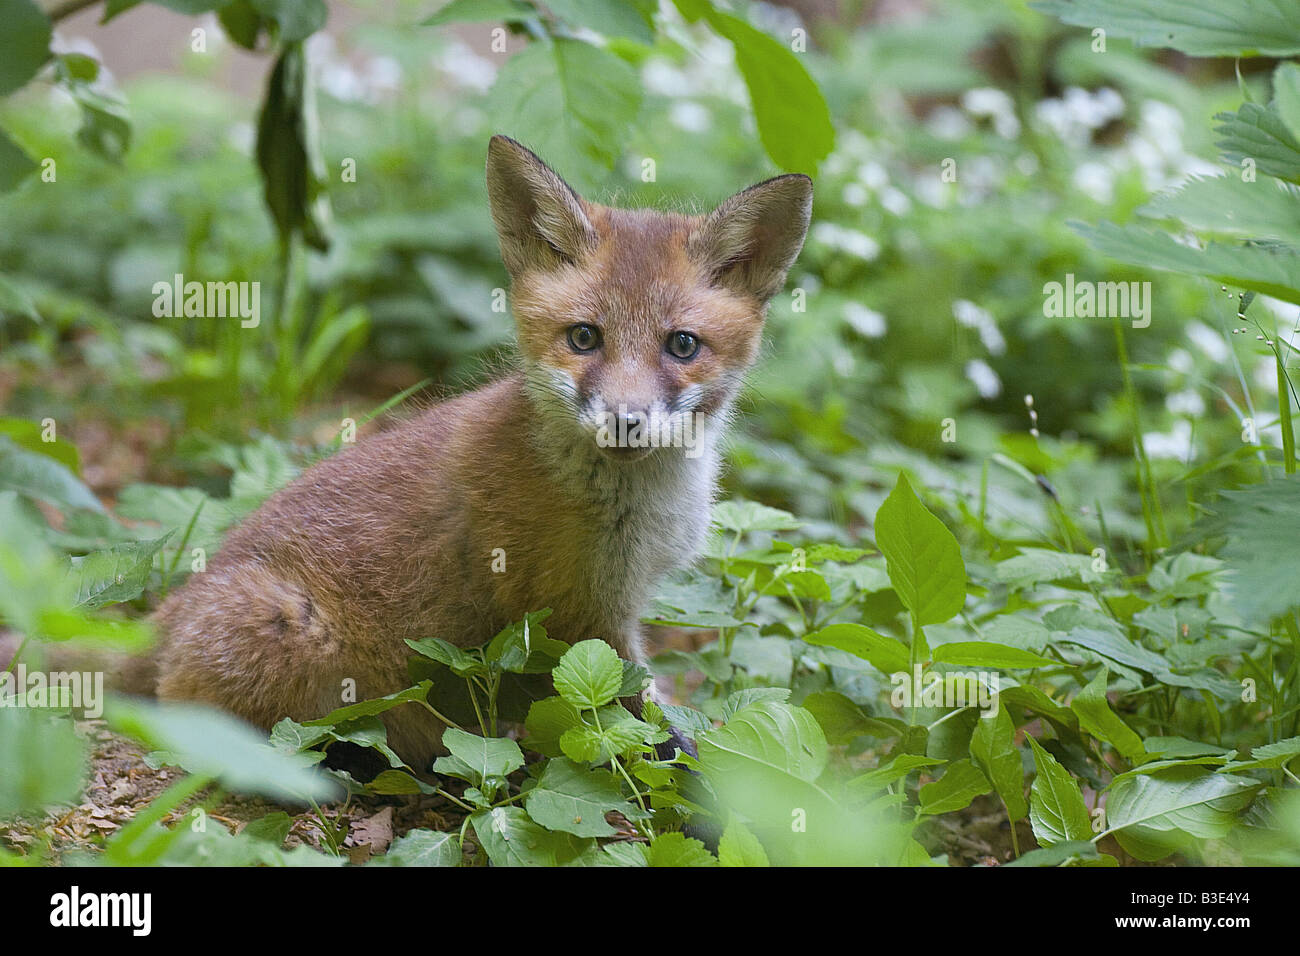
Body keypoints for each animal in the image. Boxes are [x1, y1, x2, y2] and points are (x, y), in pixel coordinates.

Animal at [152, 135, 813, 770]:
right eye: (584, 337)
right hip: (297, 636)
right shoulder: (576, 620)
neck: (635, 504)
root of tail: (172, 607)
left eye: (682, 345)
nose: (626, 422)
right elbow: (647, 736)